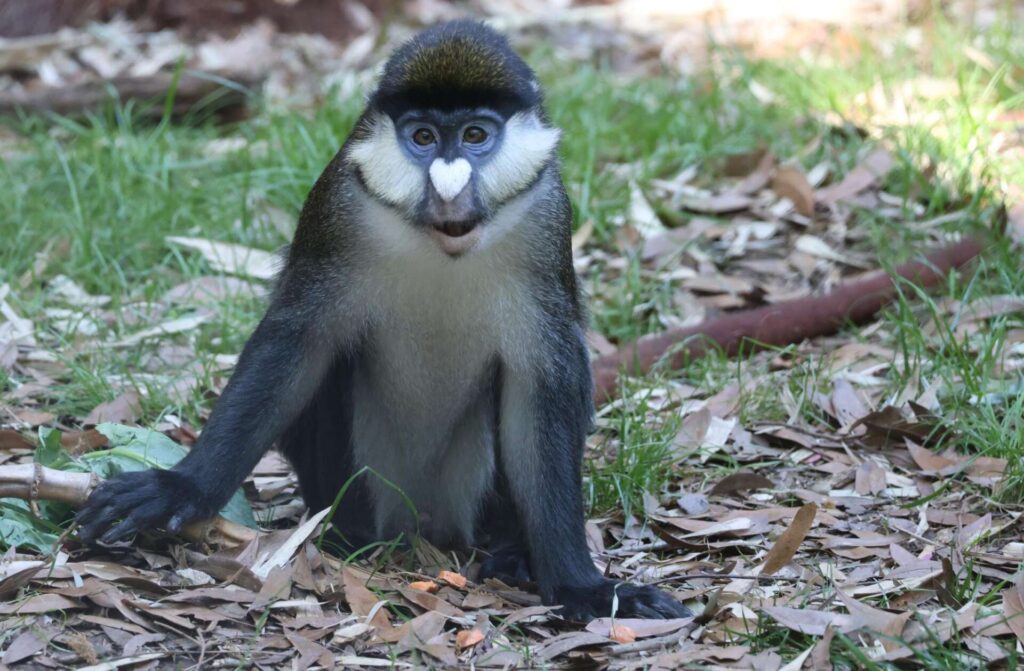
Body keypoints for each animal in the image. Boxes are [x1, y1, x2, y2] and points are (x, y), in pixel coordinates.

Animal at [76, 20, 691, 622]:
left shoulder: (546, 222)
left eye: (475, 135)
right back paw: (348, 538)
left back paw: (513, 551)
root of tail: (424, 522)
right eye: (422, 138)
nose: (448, 182)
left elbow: (542, 389)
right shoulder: (337, 210)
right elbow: (293, 347)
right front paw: (181, 487)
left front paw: (584, 588)